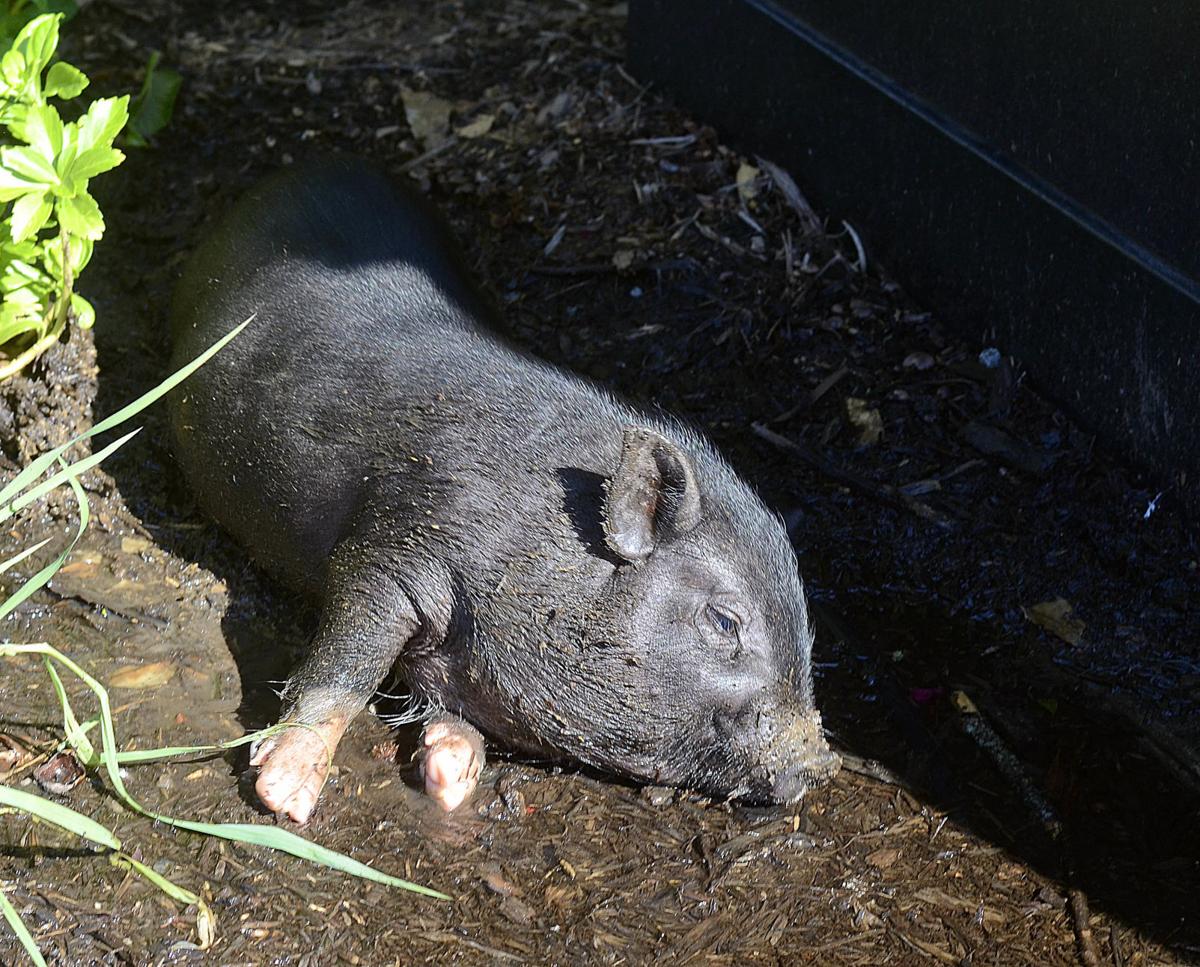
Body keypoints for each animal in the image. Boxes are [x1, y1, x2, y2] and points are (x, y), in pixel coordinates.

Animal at [169, 155, 839, 823]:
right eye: (725, 621)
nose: (821, 762)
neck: (544, 542)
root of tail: (319, 161)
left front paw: (452, 778)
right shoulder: (395, 544)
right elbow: (351, 654)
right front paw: (284, 797)